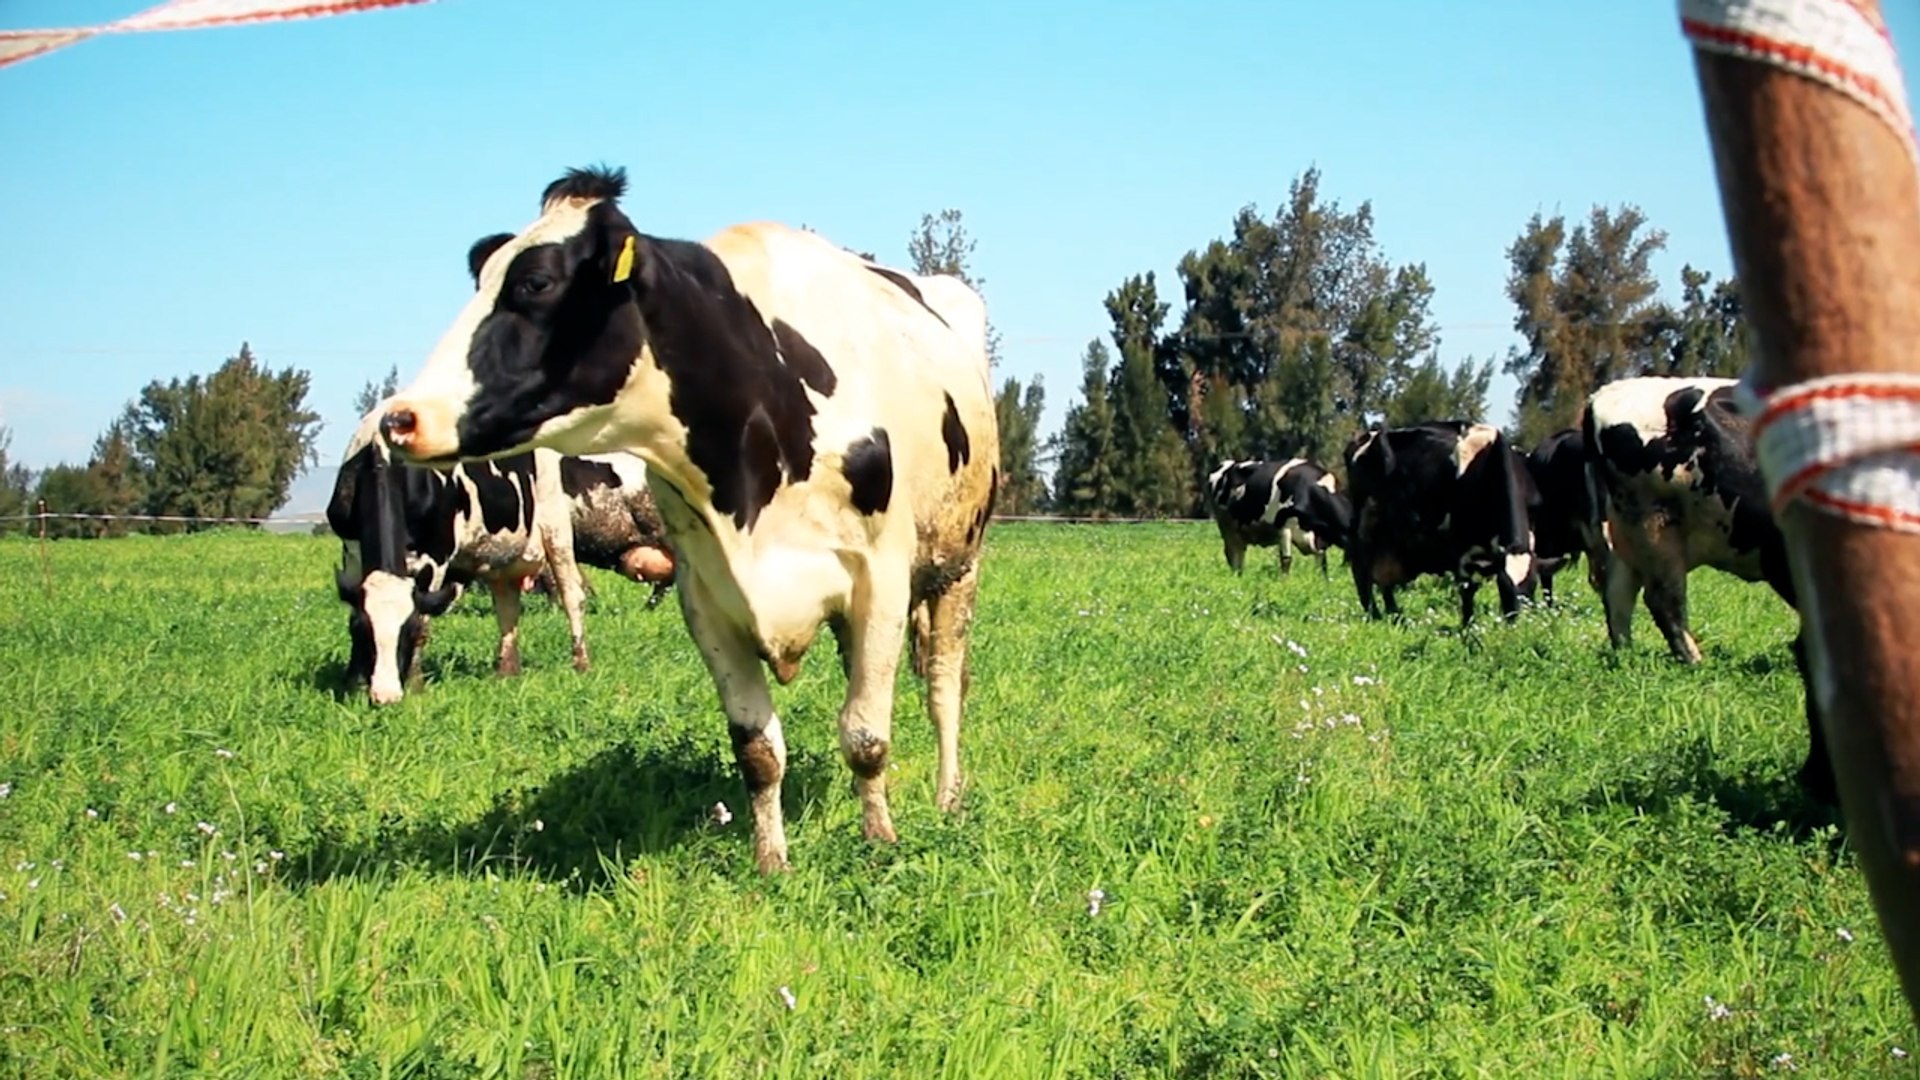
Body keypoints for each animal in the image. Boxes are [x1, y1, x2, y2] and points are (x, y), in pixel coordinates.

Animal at [326, 410, 592, 706]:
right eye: (366, 630)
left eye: (407, 631)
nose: (386, 696)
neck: (383, 454)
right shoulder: (352, 550)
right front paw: (354, 682)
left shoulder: (436, 556)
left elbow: (425, 621)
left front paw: (415, 683)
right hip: (500, 553)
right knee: (507, 606)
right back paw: (507, 671)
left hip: (556, 527)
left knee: (572, 597)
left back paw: (581, 663)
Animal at [374, 164, 1001, 873]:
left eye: (535, 283)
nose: (401, 418)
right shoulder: (705, 596)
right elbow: (758, 749)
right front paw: (772, 861)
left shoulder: (881, 580)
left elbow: (867, 734)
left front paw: (879, 840)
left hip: (957, 564)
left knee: (944, 686)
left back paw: (949, 796)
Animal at [1204, 456, 1351, 577]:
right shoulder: (1284, 527)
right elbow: (1286, 560)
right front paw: (1284, 583)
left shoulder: (1319, 539)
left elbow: (1322, 564)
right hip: (1227, 528)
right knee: (1232, 553)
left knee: (1240, 553)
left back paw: (1240, 575)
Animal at [1342, 420, 1539, 627]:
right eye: (1506, 589)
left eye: (1531, 586)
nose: (1516, 623)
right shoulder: (1461, 546)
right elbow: (1468, 588)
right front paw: (1467, 625)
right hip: (1365, 524)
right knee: (1361, 569)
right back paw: (1375, 614)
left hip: (1388, 536)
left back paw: (1396, 616)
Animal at [1579, 375, 1832, 801]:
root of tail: (1602, 395)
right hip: (1654, 525)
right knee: (1664, 602)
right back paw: (1696, 663)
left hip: (1625, 534)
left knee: (1619, 599)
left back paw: (1628, 656)